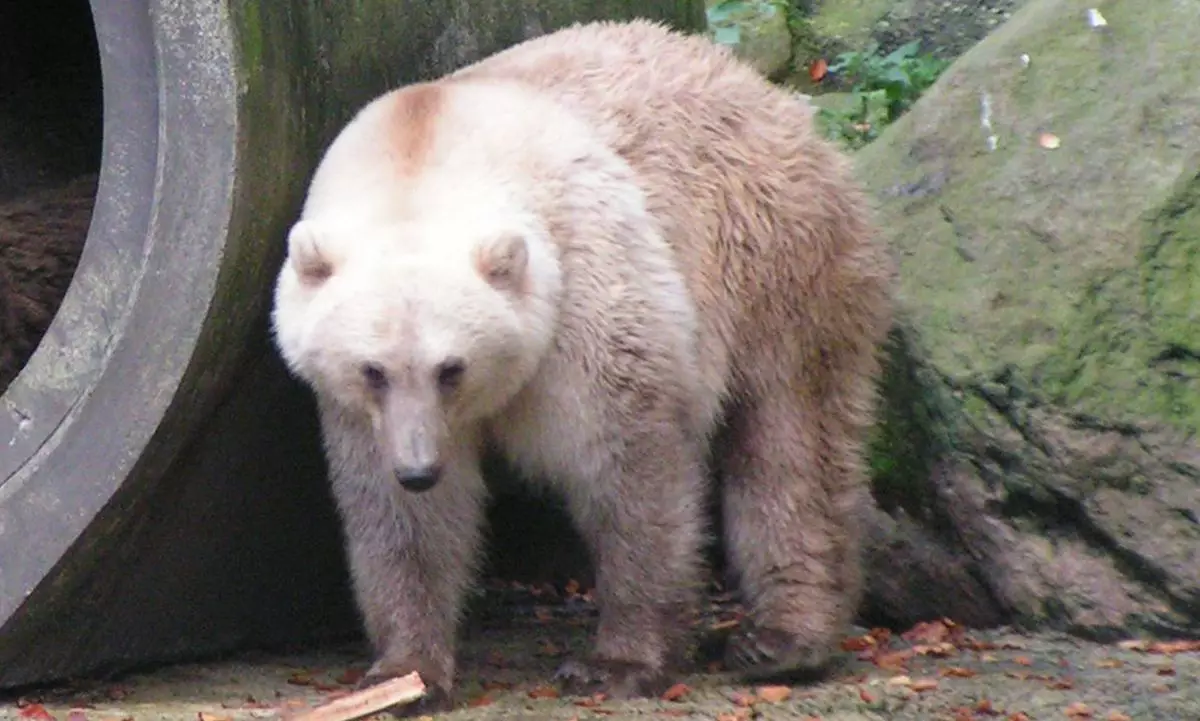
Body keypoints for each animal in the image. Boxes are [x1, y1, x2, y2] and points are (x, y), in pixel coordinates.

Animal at [272, 18, 892, 715]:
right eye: (372, 370)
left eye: (452, 367)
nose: (419, 469)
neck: (425, 151)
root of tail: (773, 96)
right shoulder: (358, 412)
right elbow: (400, 520)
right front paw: (405, 673)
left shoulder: (583, 290)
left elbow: (627, 468)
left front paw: (617, 663)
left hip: (774, 253)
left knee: (791, 438)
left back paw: (783, 639)